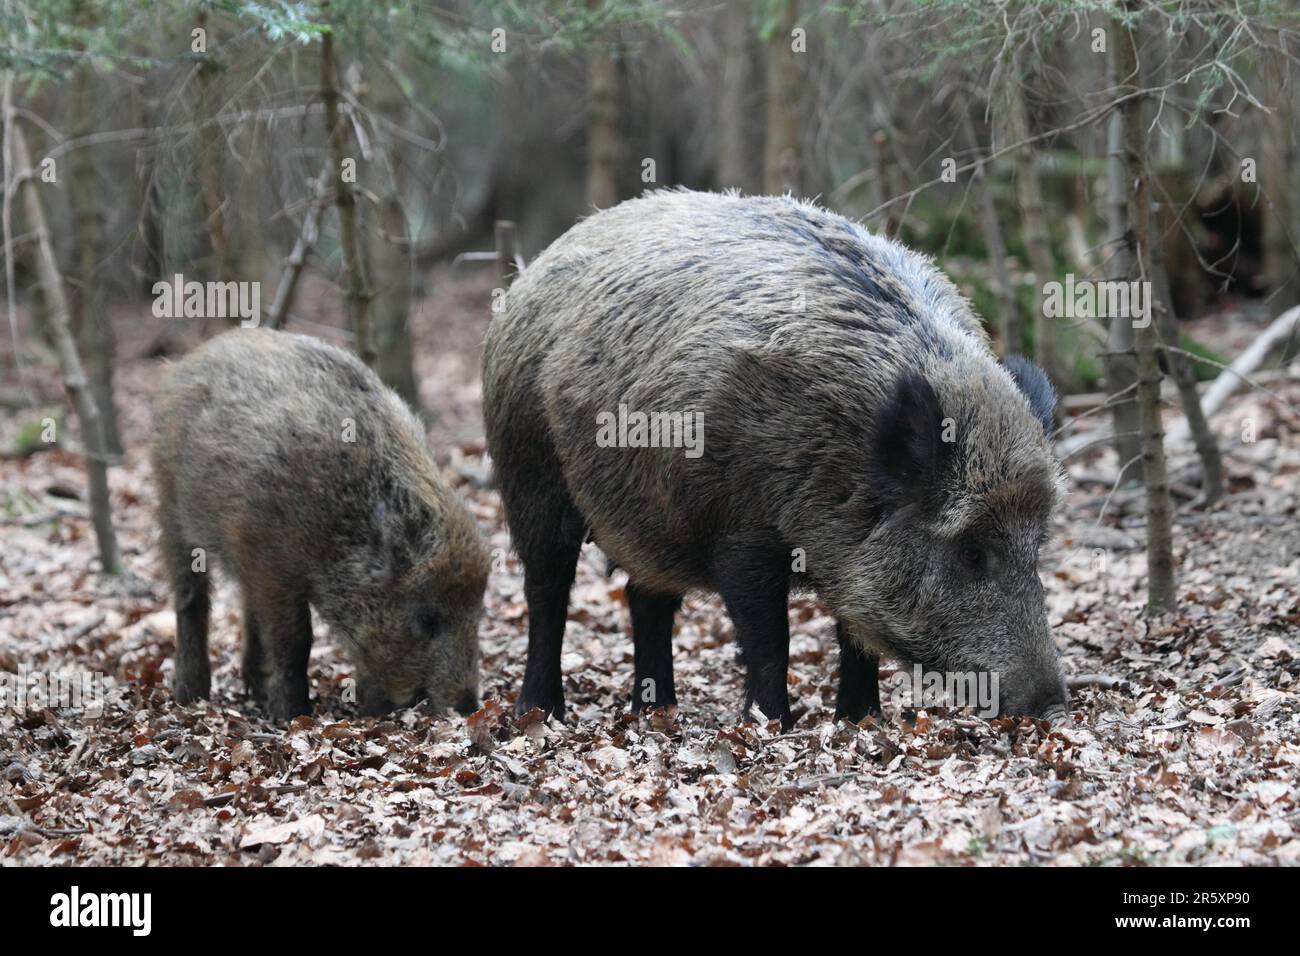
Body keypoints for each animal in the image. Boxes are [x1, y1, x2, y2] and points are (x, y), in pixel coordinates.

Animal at [152, 329, 488, 721]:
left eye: (478, 613)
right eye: (426, 618)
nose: (468, 706)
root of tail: (183, 365)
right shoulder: (271, 564)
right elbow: (296, 639)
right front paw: (292, 714)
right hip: (170, 509)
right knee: (191, 600)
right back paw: (190, 695)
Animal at [482, 188, 1068, 729]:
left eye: (1036, 544)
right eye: (971, 551)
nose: (1053, 704)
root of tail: (535, 267)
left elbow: (853, 635)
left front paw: (859, 721)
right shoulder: (741, 535)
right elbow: (771, 638)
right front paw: (773, 725)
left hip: (649, 518)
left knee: (645, 596)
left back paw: (657, 712)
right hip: (528, 472)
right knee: (547, 591)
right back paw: (542, 712)